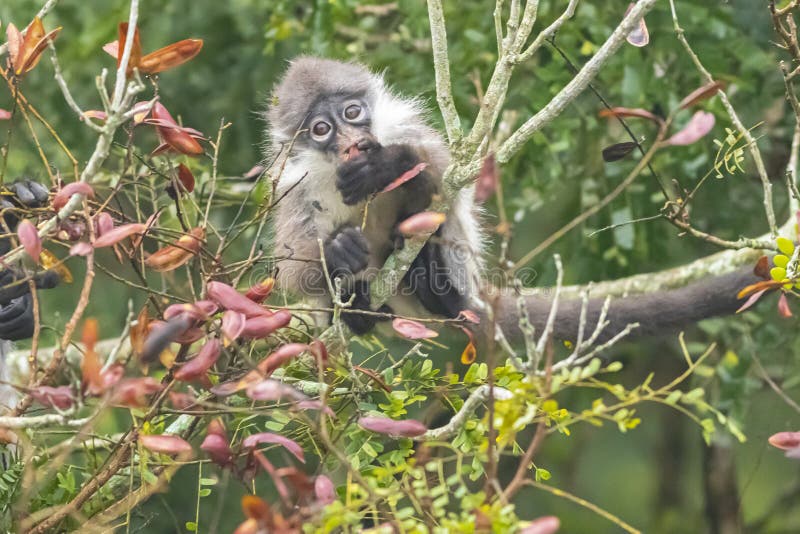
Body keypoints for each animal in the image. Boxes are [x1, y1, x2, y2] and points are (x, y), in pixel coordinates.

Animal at [265, 57, 760, 344]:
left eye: (352, 112)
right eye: (322, 129)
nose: (351, 140)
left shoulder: (403, 129)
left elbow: (449, 179)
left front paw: (388, 166)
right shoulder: (294, 181)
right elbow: (292, 268)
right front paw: (338, 252)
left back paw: (433, 282)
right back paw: (360, 308)